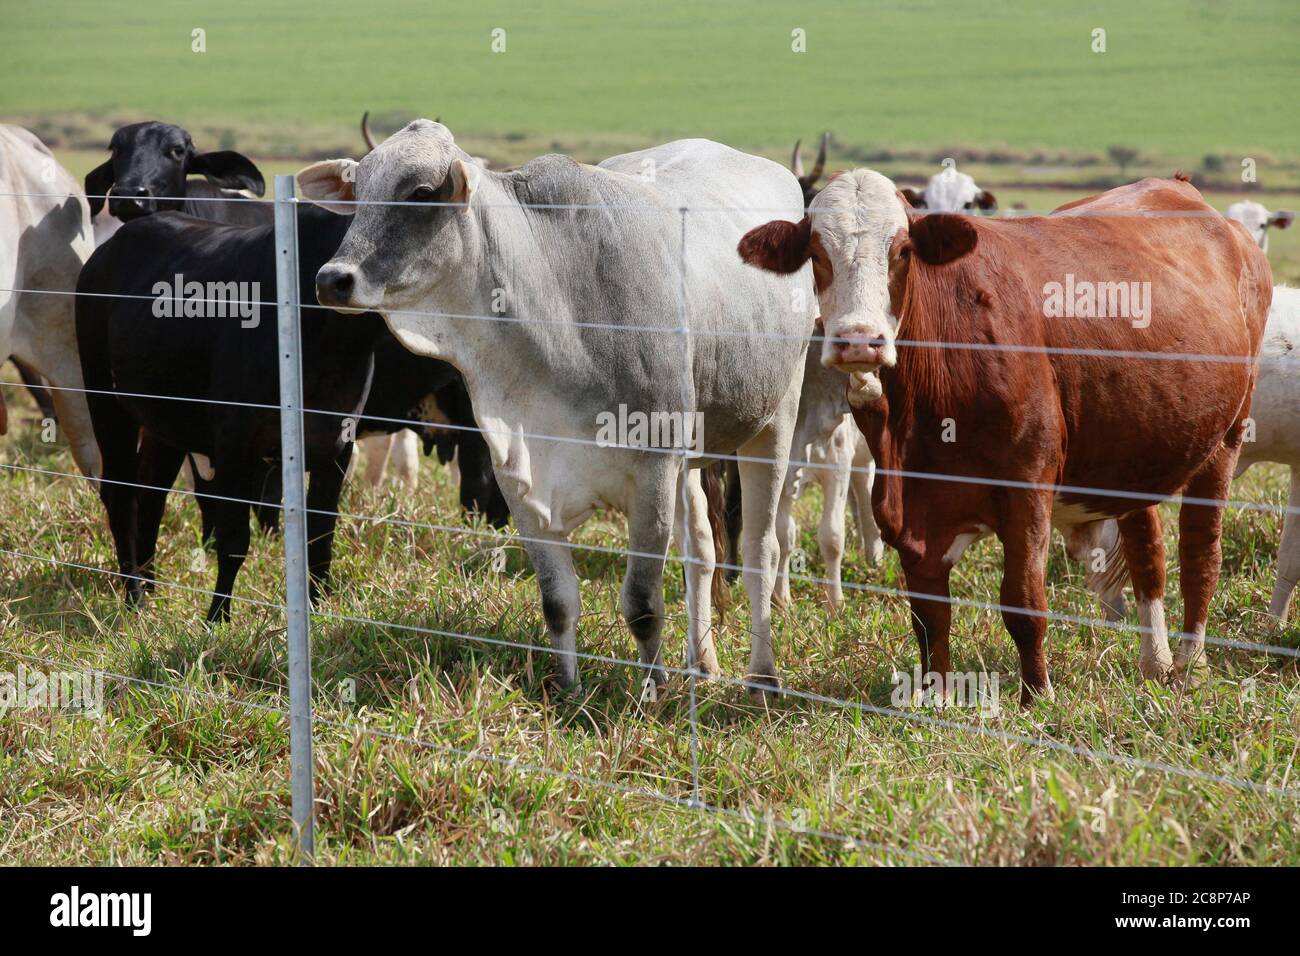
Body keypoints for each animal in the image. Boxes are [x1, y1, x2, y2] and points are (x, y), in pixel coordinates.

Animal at [299, 120, 813, 693]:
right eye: (360, 190)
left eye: (421, 192)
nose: (332, 279)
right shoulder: (519, 476)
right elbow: (558, 601)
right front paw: (567, 689)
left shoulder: (652, 471)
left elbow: (642, 603)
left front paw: (651, 693)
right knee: (701, 549)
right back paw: (701, 664)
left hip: (775, 420)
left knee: (760, 550)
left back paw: (762, 678)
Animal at [738, 170, 1271, 704]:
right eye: (816, 252)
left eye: (902, 250)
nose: (858, 342)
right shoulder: (910, 511)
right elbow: (929, 614)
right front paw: (937, 696)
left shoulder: (1026, 489)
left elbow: (1023, 600)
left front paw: (1037, 695)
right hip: (1138, 448)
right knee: (1148, 552)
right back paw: (1155, 660)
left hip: (1225, 439)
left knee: (1201, 552)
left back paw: (1189, 664)